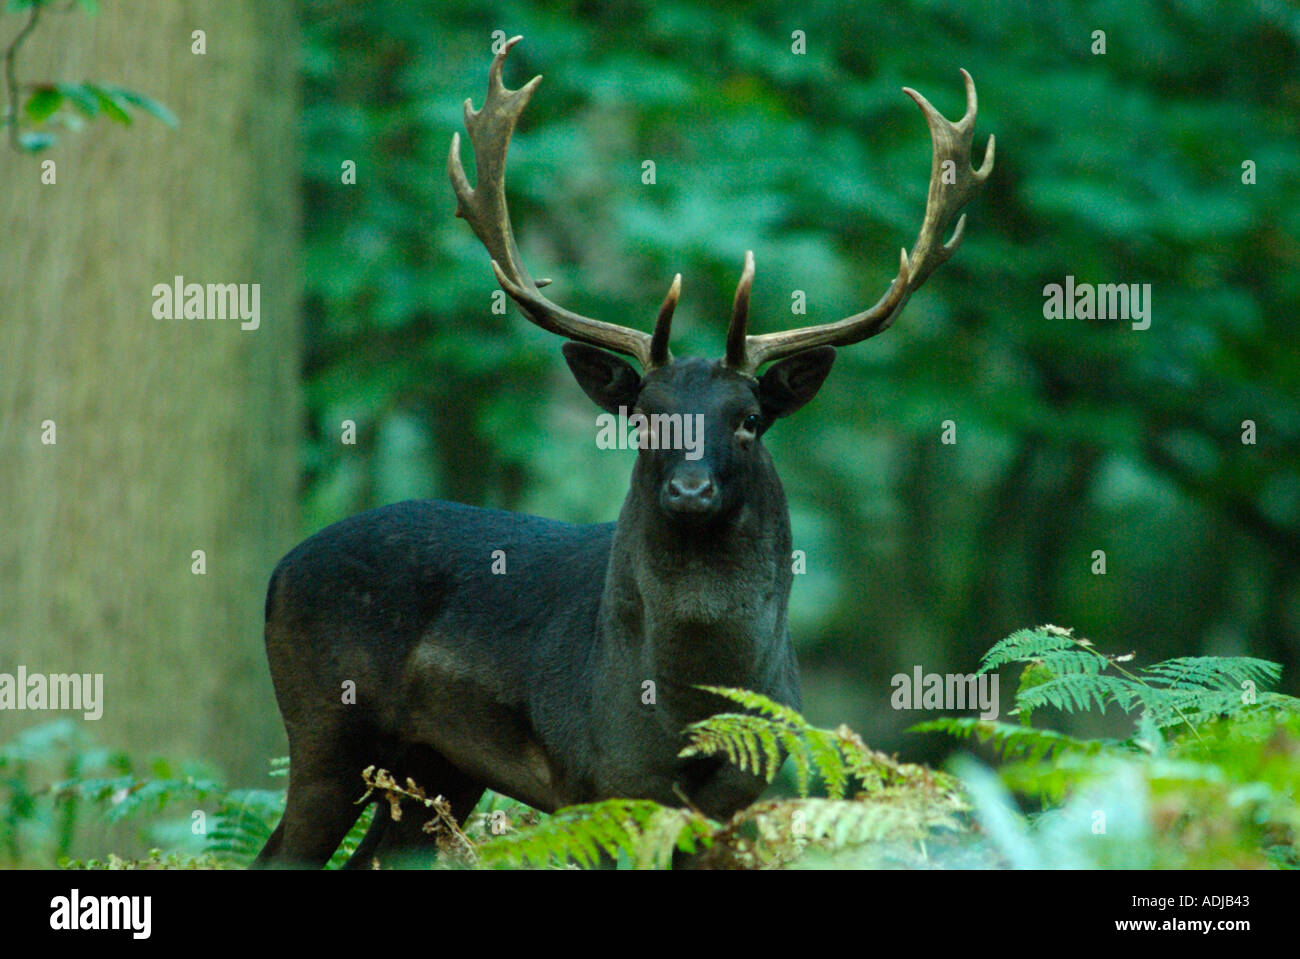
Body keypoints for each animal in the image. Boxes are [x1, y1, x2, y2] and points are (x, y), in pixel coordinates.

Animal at [253, 36, 993, 868]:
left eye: (748, 419)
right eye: (645, 418)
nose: (691, 491)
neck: (686, 720)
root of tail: (277, 573)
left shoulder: (741, 801)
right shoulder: (595, 784)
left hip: (438, 768)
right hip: (325, 724)